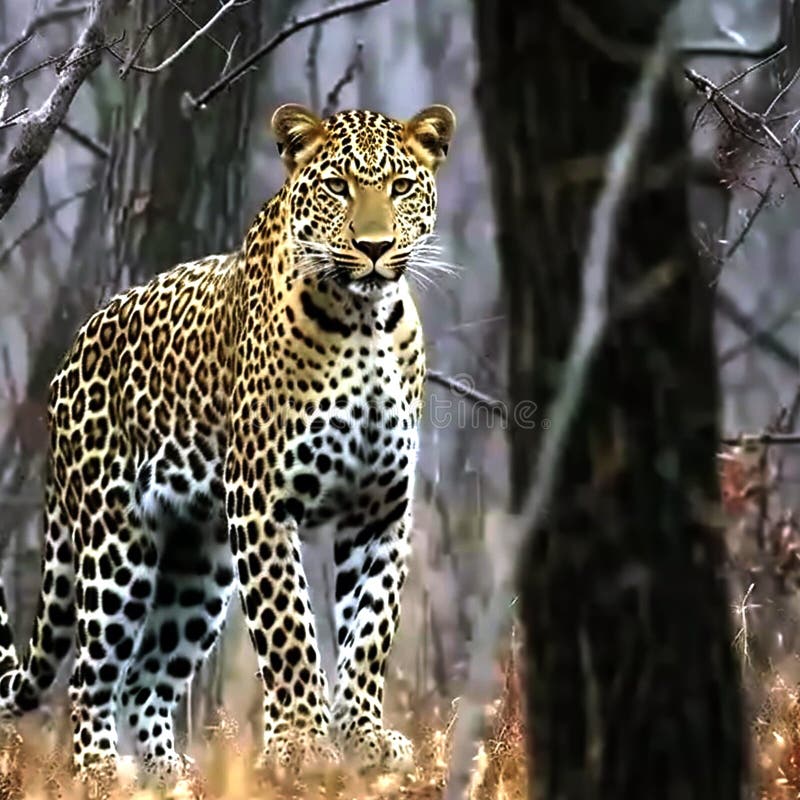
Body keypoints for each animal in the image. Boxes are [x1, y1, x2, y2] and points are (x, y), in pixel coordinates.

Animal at [0, 103, 455, 783]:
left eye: (401, 187)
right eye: (336, 186)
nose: (374, 249)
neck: (366, 320)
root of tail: (67, 360)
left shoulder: (380, 510)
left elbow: (371, 629)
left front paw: (366, 738)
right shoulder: (263, 499)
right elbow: (290, 628)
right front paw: (304, 746)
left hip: (197, 562)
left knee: (146, 679)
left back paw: (171, 775)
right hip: (116, 547)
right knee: (91, 675)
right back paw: (103, 771)